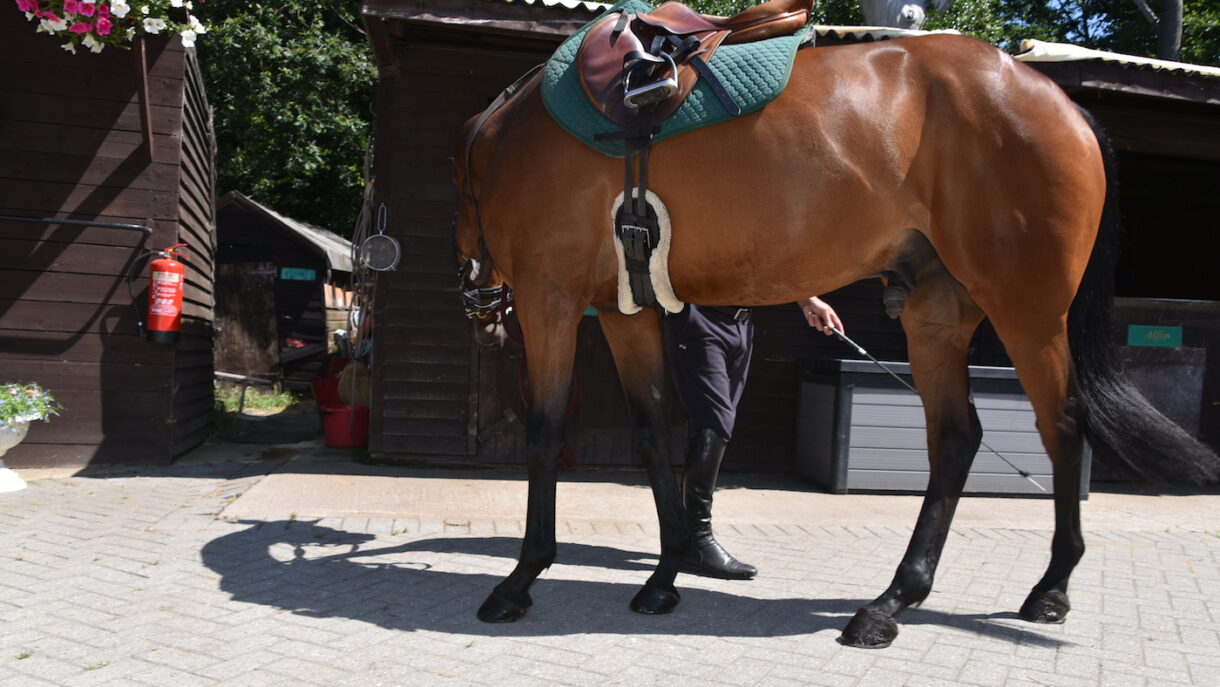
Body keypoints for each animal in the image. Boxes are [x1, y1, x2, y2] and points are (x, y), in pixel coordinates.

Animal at [451, 19, 1219, 648]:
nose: (479, 311)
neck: (508, 138)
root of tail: (1063, 103)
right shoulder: (624, 312)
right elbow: (652, 436)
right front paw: (665, 579)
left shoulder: (550, 300)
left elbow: (545, 432)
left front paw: (520, 580)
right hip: (936, 314)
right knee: (956, 437)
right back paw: (892, 601)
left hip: (1027, 309)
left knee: (1061, 425)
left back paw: (1049, 588)